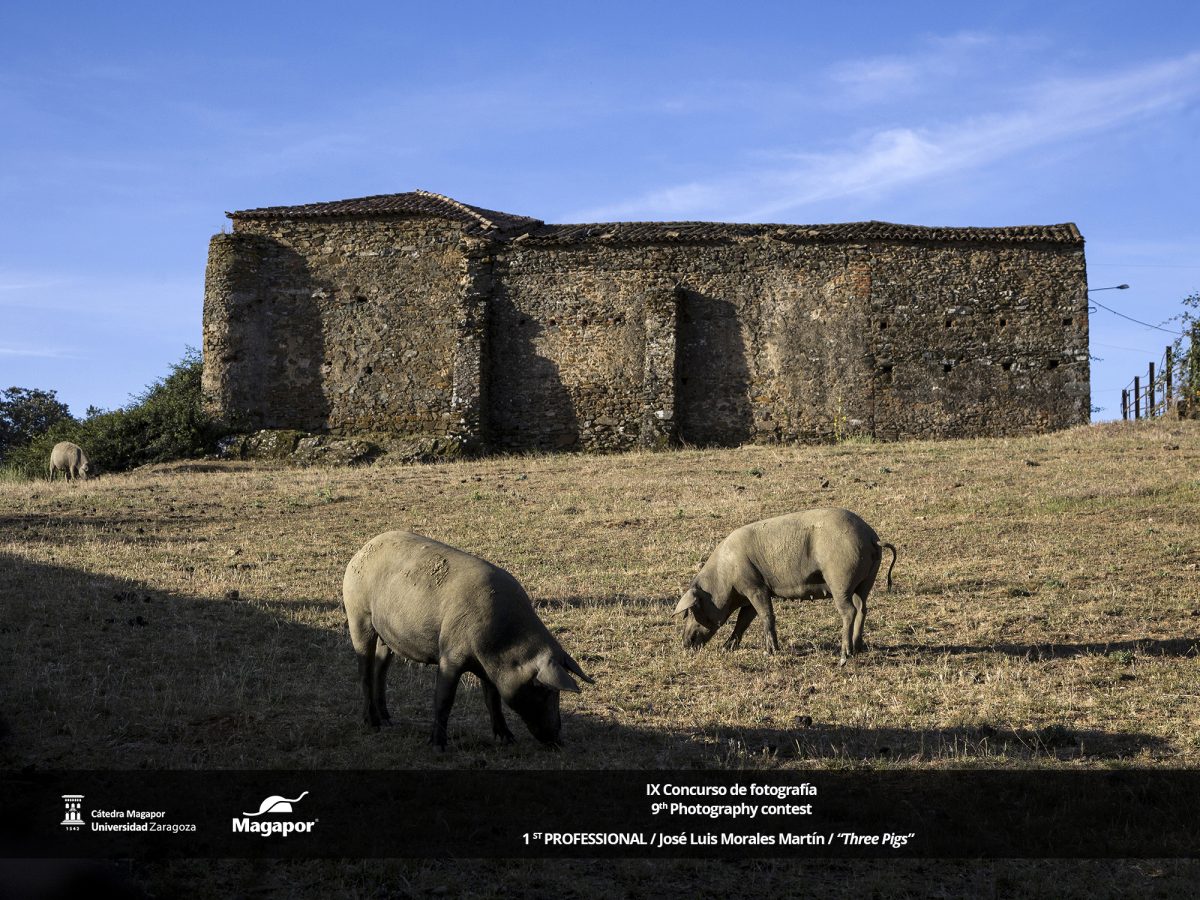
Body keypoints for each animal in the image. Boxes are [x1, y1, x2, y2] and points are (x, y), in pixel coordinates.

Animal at [342, 531, 594, 750]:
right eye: (544, 690)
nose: (558, 741)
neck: (503, 646)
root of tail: (362, 550)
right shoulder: (450, 654)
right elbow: (444, 699)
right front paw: (437, 747)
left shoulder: (489, 670)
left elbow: (492, 699)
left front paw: (508, 739)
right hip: (358, 615)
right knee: (364, 670)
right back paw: (373, 724)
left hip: (387, 637)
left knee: (380, 669)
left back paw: (387, 720)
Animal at [674, 508, 896, 664]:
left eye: (692, 610)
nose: (684, 643)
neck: (723, 578)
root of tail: (871, 537)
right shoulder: (751, 593)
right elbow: (744, 621)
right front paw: (726, 647)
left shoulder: (755, 587)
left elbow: (766, 616)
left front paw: (770, 652)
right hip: (866, 581)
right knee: (863, 608)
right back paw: (858, 647)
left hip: (840, 580)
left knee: (849, 611)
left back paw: (844, 655)